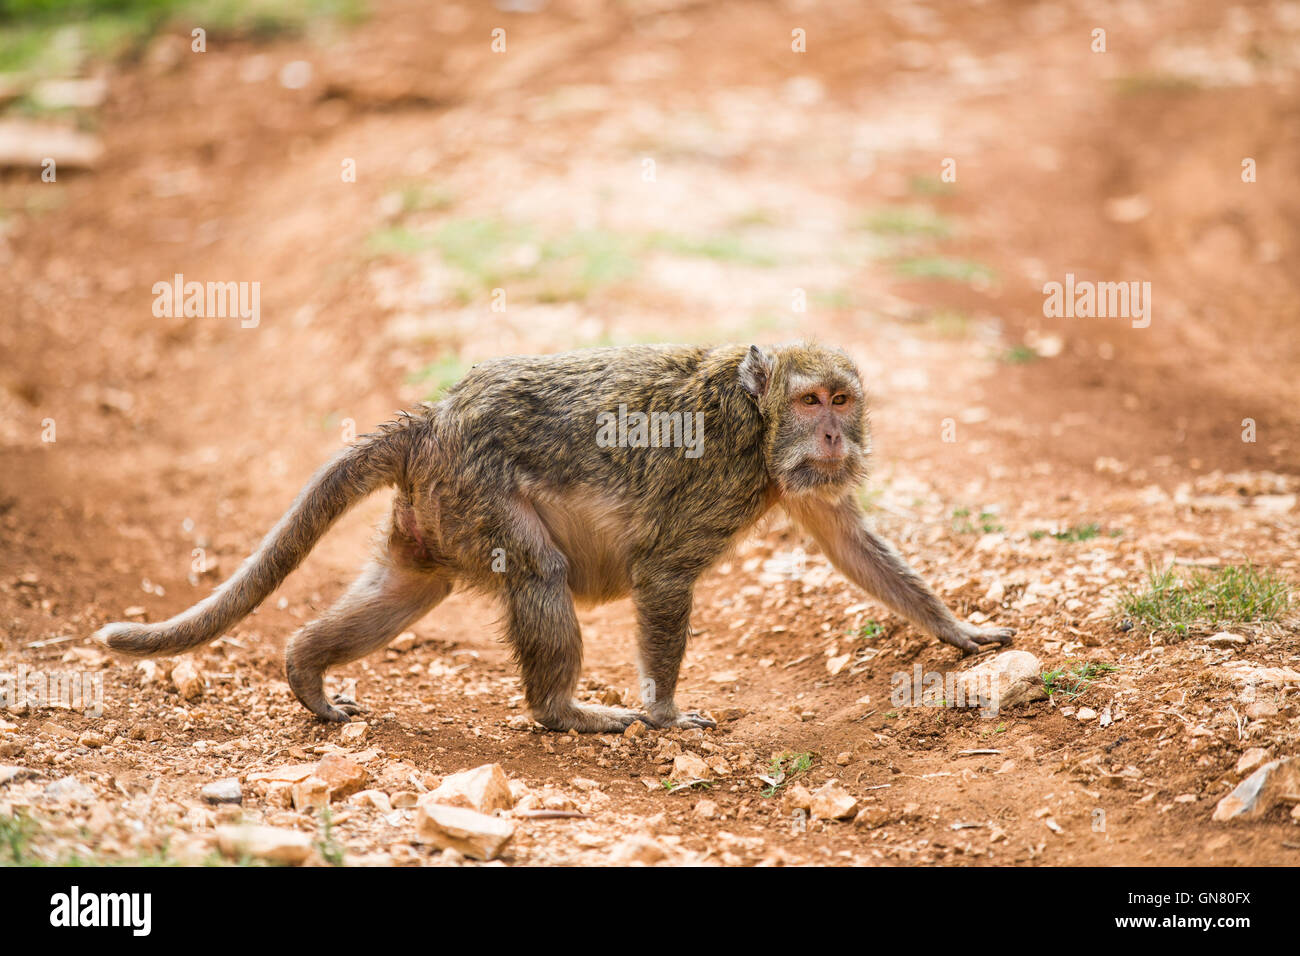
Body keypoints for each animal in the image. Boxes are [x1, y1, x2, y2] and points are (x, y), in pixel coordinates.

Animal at [97, 343, 1013, 732]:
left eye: (842, 400)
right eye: (810, 400)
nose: (829, 436)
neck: (753, 416)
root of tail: (435, 419)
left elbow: (848, 542)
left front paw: (958, 631)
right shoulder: (719, 481)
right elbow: (662, 577)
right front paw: (663, 712)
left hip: (437, 513)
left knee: (411, 586)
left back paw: (305, 669)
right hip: (479, 488)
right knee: (539, 568)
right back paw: (562, 711)